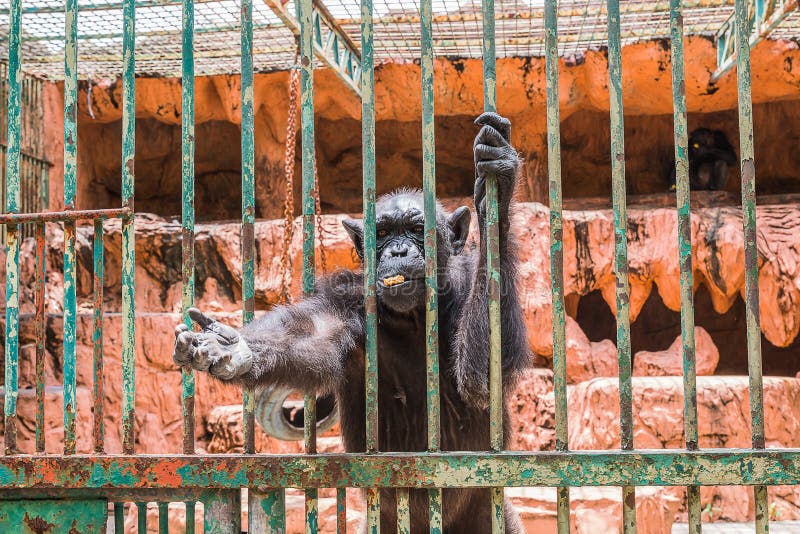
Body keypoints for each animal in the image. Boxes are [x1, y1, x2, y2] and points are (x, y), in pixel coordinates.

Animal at [173, 112, 529, 533]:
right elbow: (308, 334)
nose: (397, 250)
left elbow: (480, 379)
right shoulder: (343, 302)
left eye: (416, 230)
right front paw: (233, 348)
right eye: (384, 232)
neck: (413, 318)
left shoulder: (465, 286)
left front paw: (497, 191)